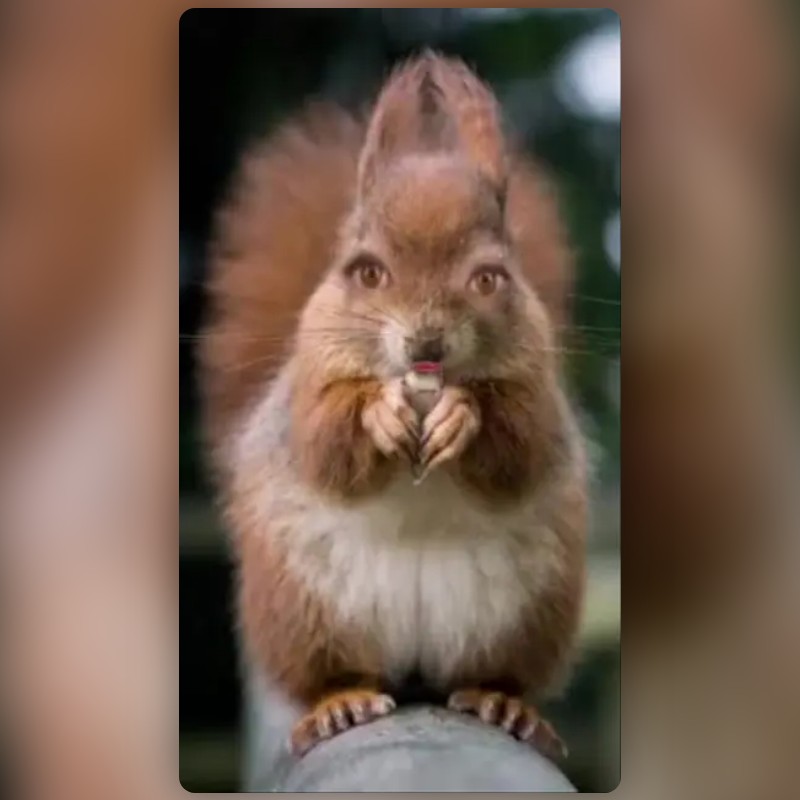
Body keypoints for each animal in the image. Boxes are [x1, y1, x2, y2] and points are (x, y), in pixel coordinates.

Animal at [200, 52, 588, 761]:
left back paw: (502, 702)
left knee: (499, 671)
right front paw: (377, 413)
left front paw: (463, 415)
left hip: (531, 614)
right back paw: (340, 703)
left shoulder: (536, 389)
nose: (426, 343)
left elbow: (518, 445)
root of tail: (414, 669)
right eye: (366, 272)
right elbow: (325, 440)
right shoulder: (306, 385)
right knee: (333, 671)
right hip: (301, 611)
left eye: (491, 278)